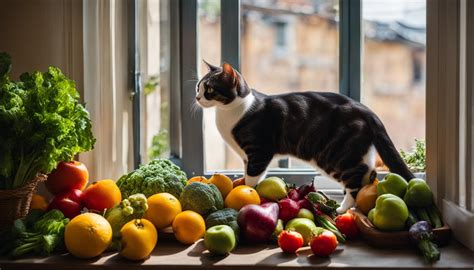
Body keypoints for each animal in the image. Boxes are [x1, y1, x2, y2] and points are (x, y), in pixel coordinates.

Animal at [196, 61, 414, 213]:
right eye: (198, 87)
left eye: (210, 89)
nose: (197, 97)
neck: (231, 112)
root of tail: (365, 109)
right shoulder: (246, 157)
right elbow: (249, 174)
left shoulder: (259, 151)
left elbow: (252, 178)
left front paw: (249, 192)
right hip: (356, 149)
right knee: (369, 171)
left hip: (335, 154)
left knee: (357, 175)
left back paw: (344, 207)